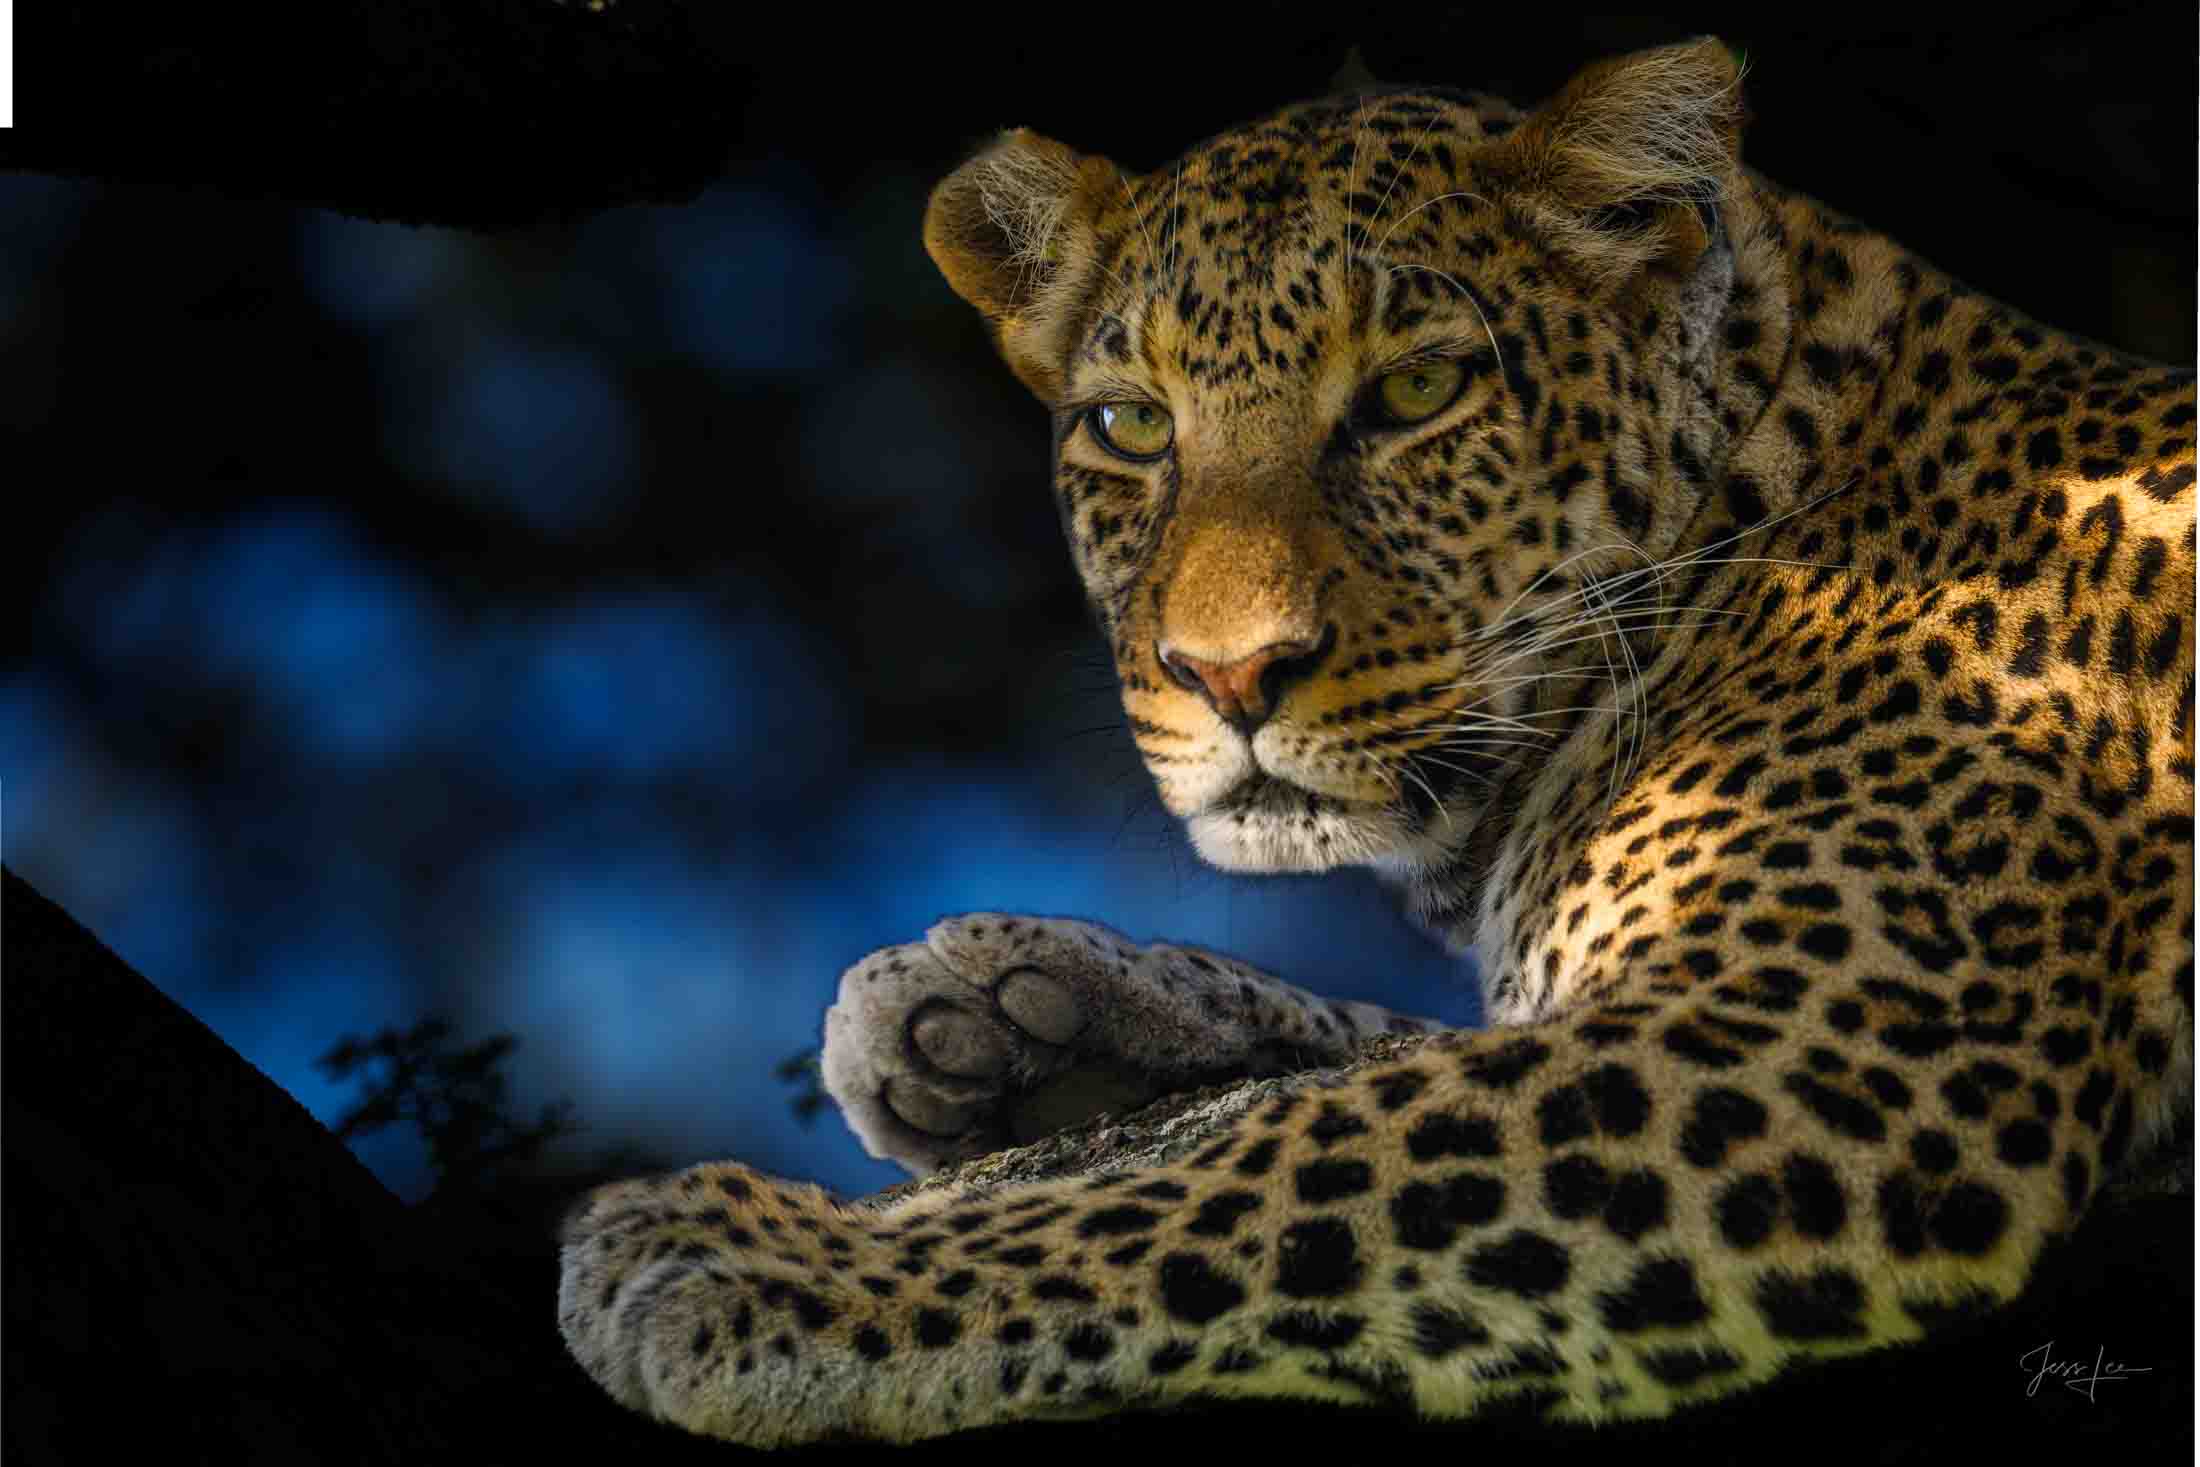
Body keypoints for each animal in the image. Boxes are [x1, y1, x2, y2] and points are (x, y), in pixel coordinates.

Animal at [558, 38, 2195, 1446]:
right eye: (1131, 426)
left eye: (1417, 391)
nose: (1230, 672)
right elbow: (1360, 1049)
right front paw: (1004, 1007)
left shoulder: (1837, 1038)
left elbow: (1278, 1165)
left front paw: (760, 1262)